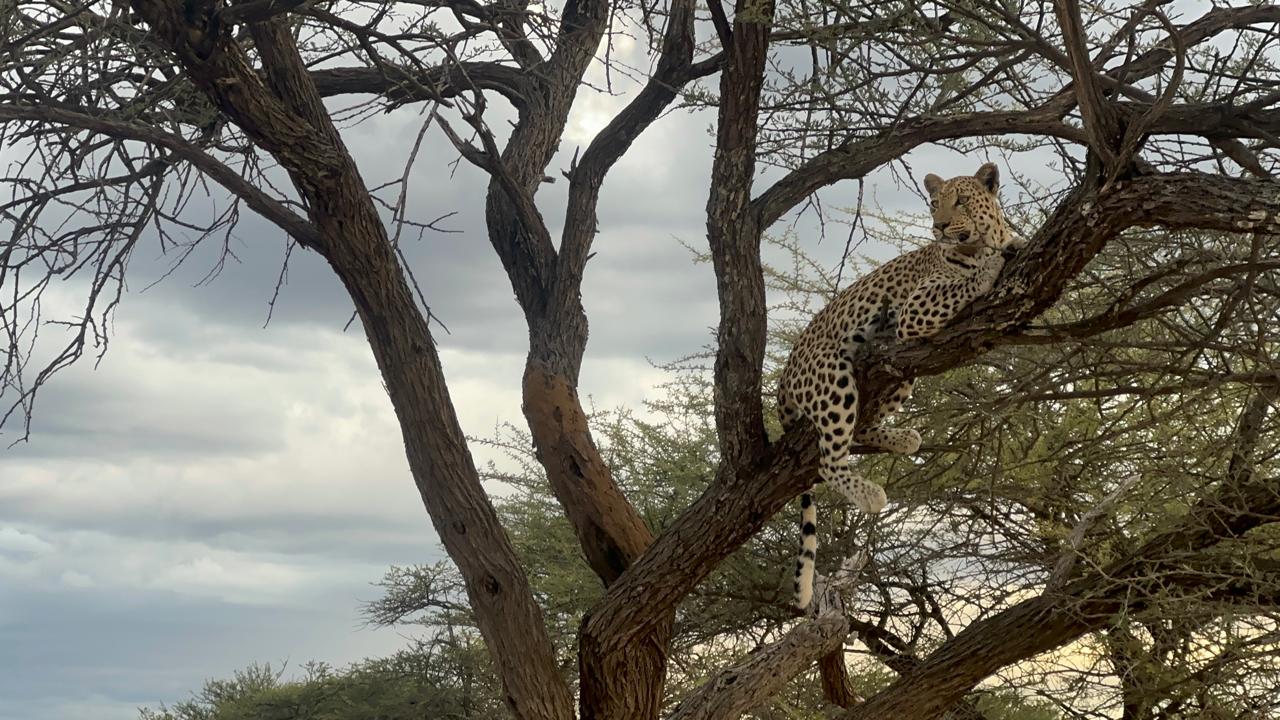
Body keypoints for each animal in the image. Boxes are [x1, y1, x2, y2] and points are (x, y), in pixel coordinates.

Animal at [779, 162, 1024, 610]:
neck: (980, 240)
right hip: (832, 378)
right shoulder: (913, 310)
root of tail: (784, 380)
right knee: (829, 459)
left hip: (899, 376)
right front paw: (989, 267)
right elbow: (962, 283)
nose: (939, 226)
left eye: (960, 201)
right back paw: (871, 494)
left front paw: (1013, 243)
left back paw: (904, 437)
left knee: (863, 425)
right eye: (934, 202)